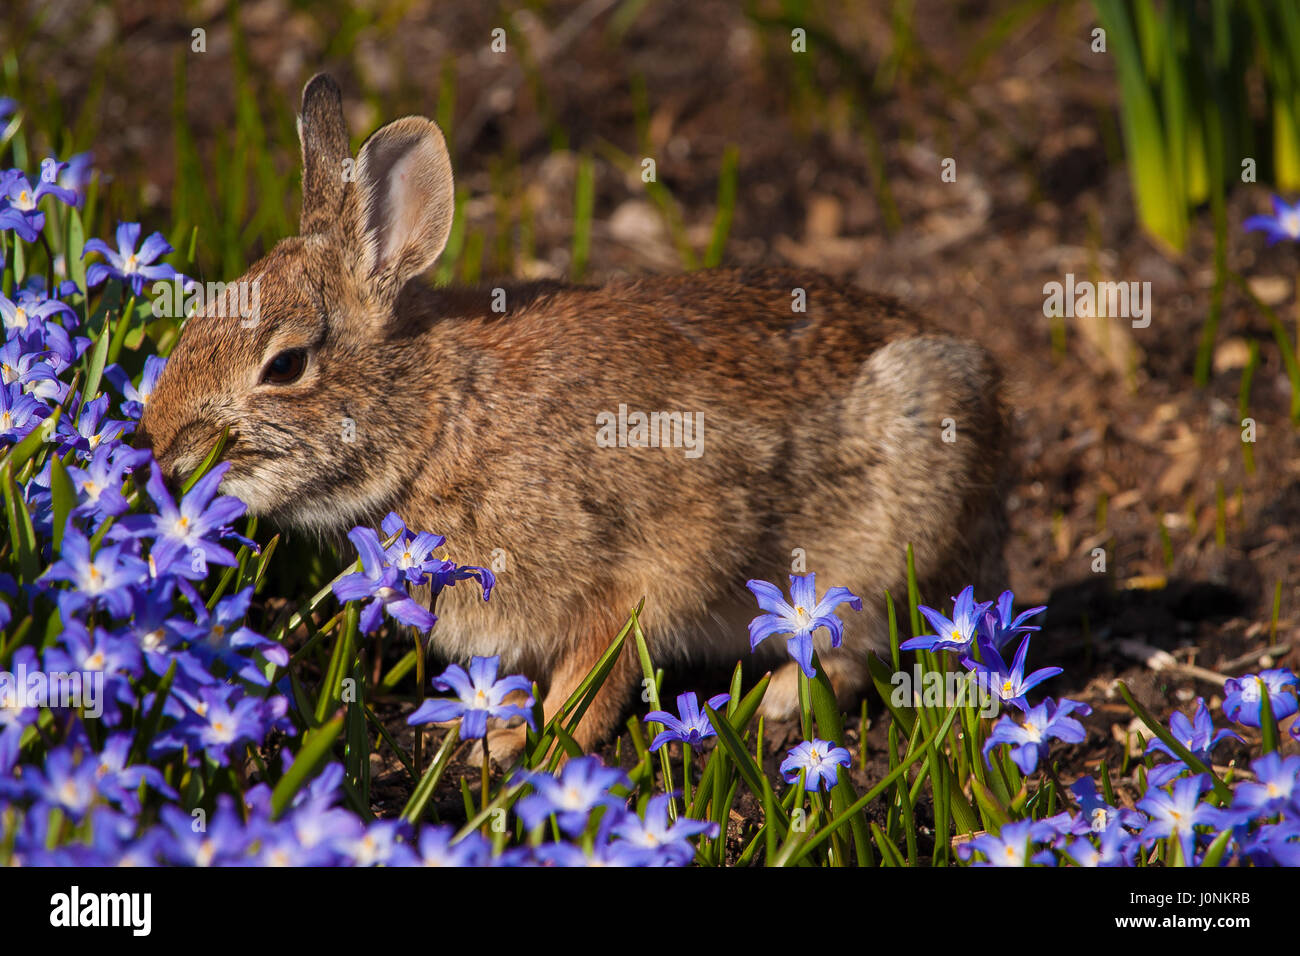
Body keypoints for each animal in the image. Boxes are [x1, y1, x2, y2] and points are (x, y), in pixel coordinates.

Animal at [137, 74, 1011, 763]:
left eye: (285, 367)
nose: (163, 454)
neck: (439, 421)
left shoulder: (635, 573)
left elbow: (604, 667)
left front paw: (541, 748)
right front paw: (493, 726)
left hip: (888, 526)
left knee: (851, 647)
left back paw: (779, 706)